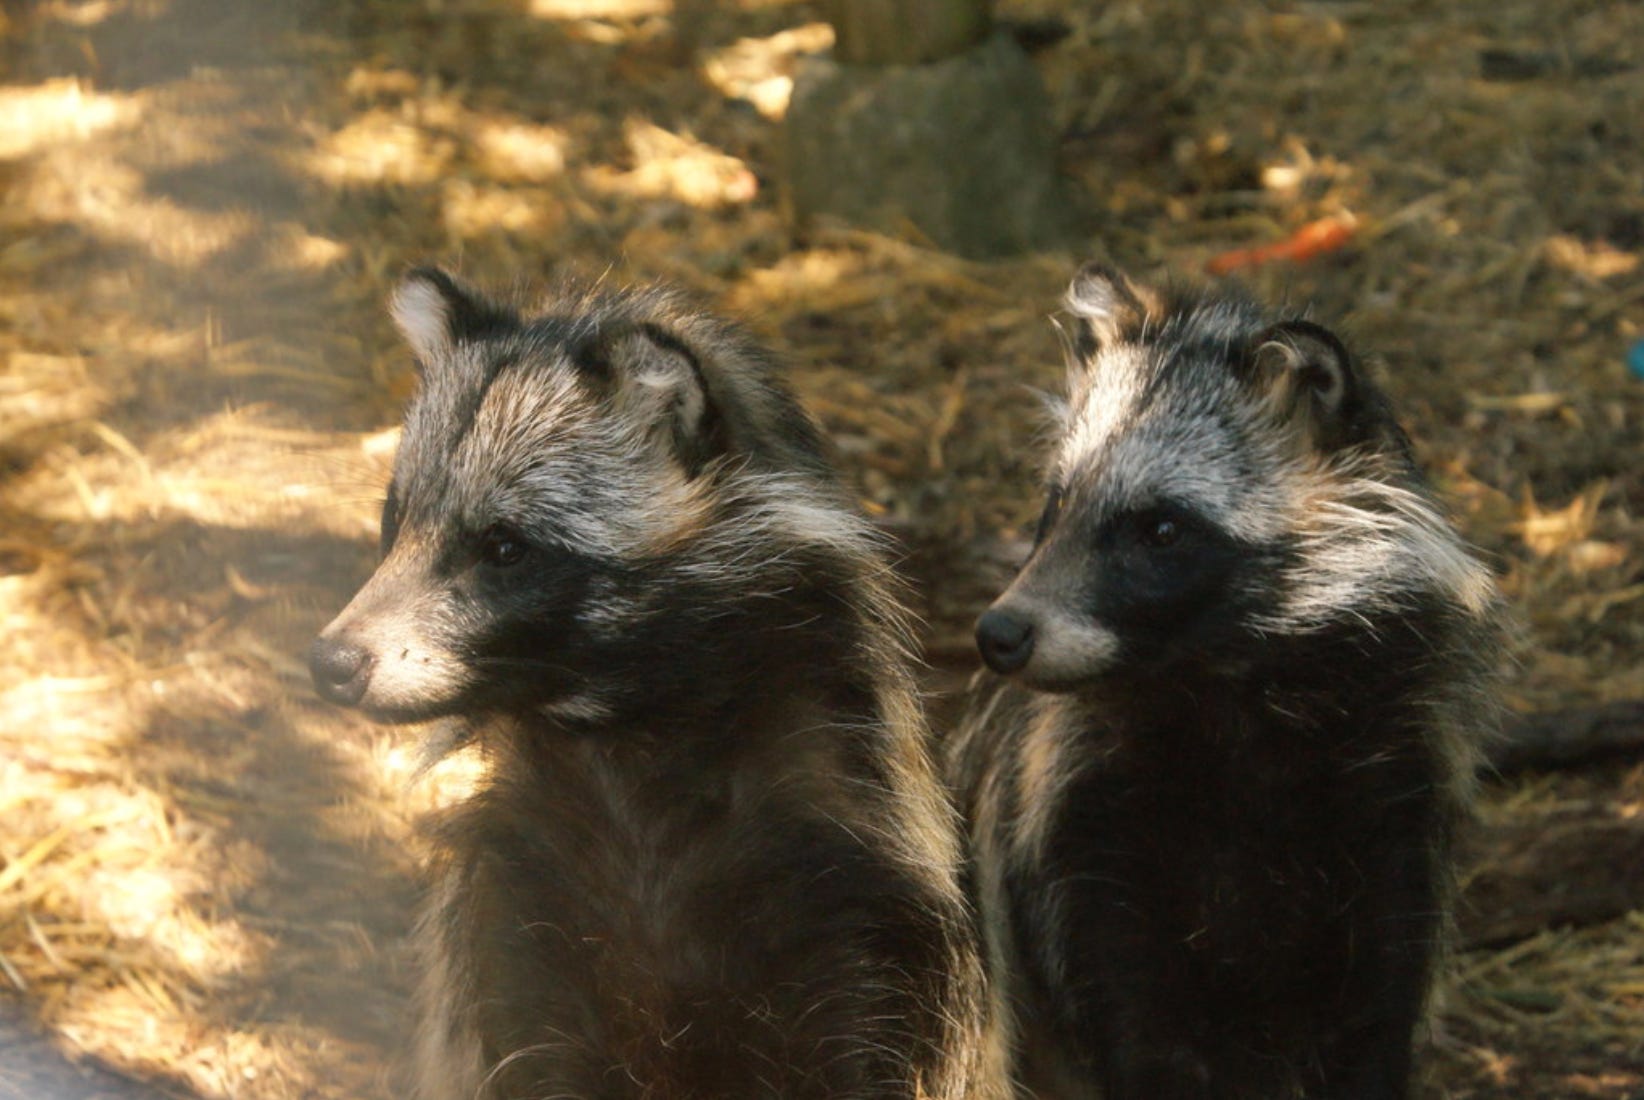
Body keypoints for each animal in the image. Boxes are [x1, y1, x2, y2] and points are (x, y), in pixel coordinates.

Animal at [309, 269, 1005, 1100]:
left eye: (504, 547)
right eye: (396, 519)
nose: (333, 661)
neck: (624, 752)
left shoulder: (866, 907)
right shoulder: (514, 918)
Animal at [948, 266, 1502, 1100]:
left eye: (1161, 530)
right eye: (1058, 502)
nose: (1001, 634)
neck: (1226, 694)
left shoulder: (1391, 807)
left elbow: (1373, 1022)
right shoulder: (1079, 828)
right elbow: (1139, 1031)